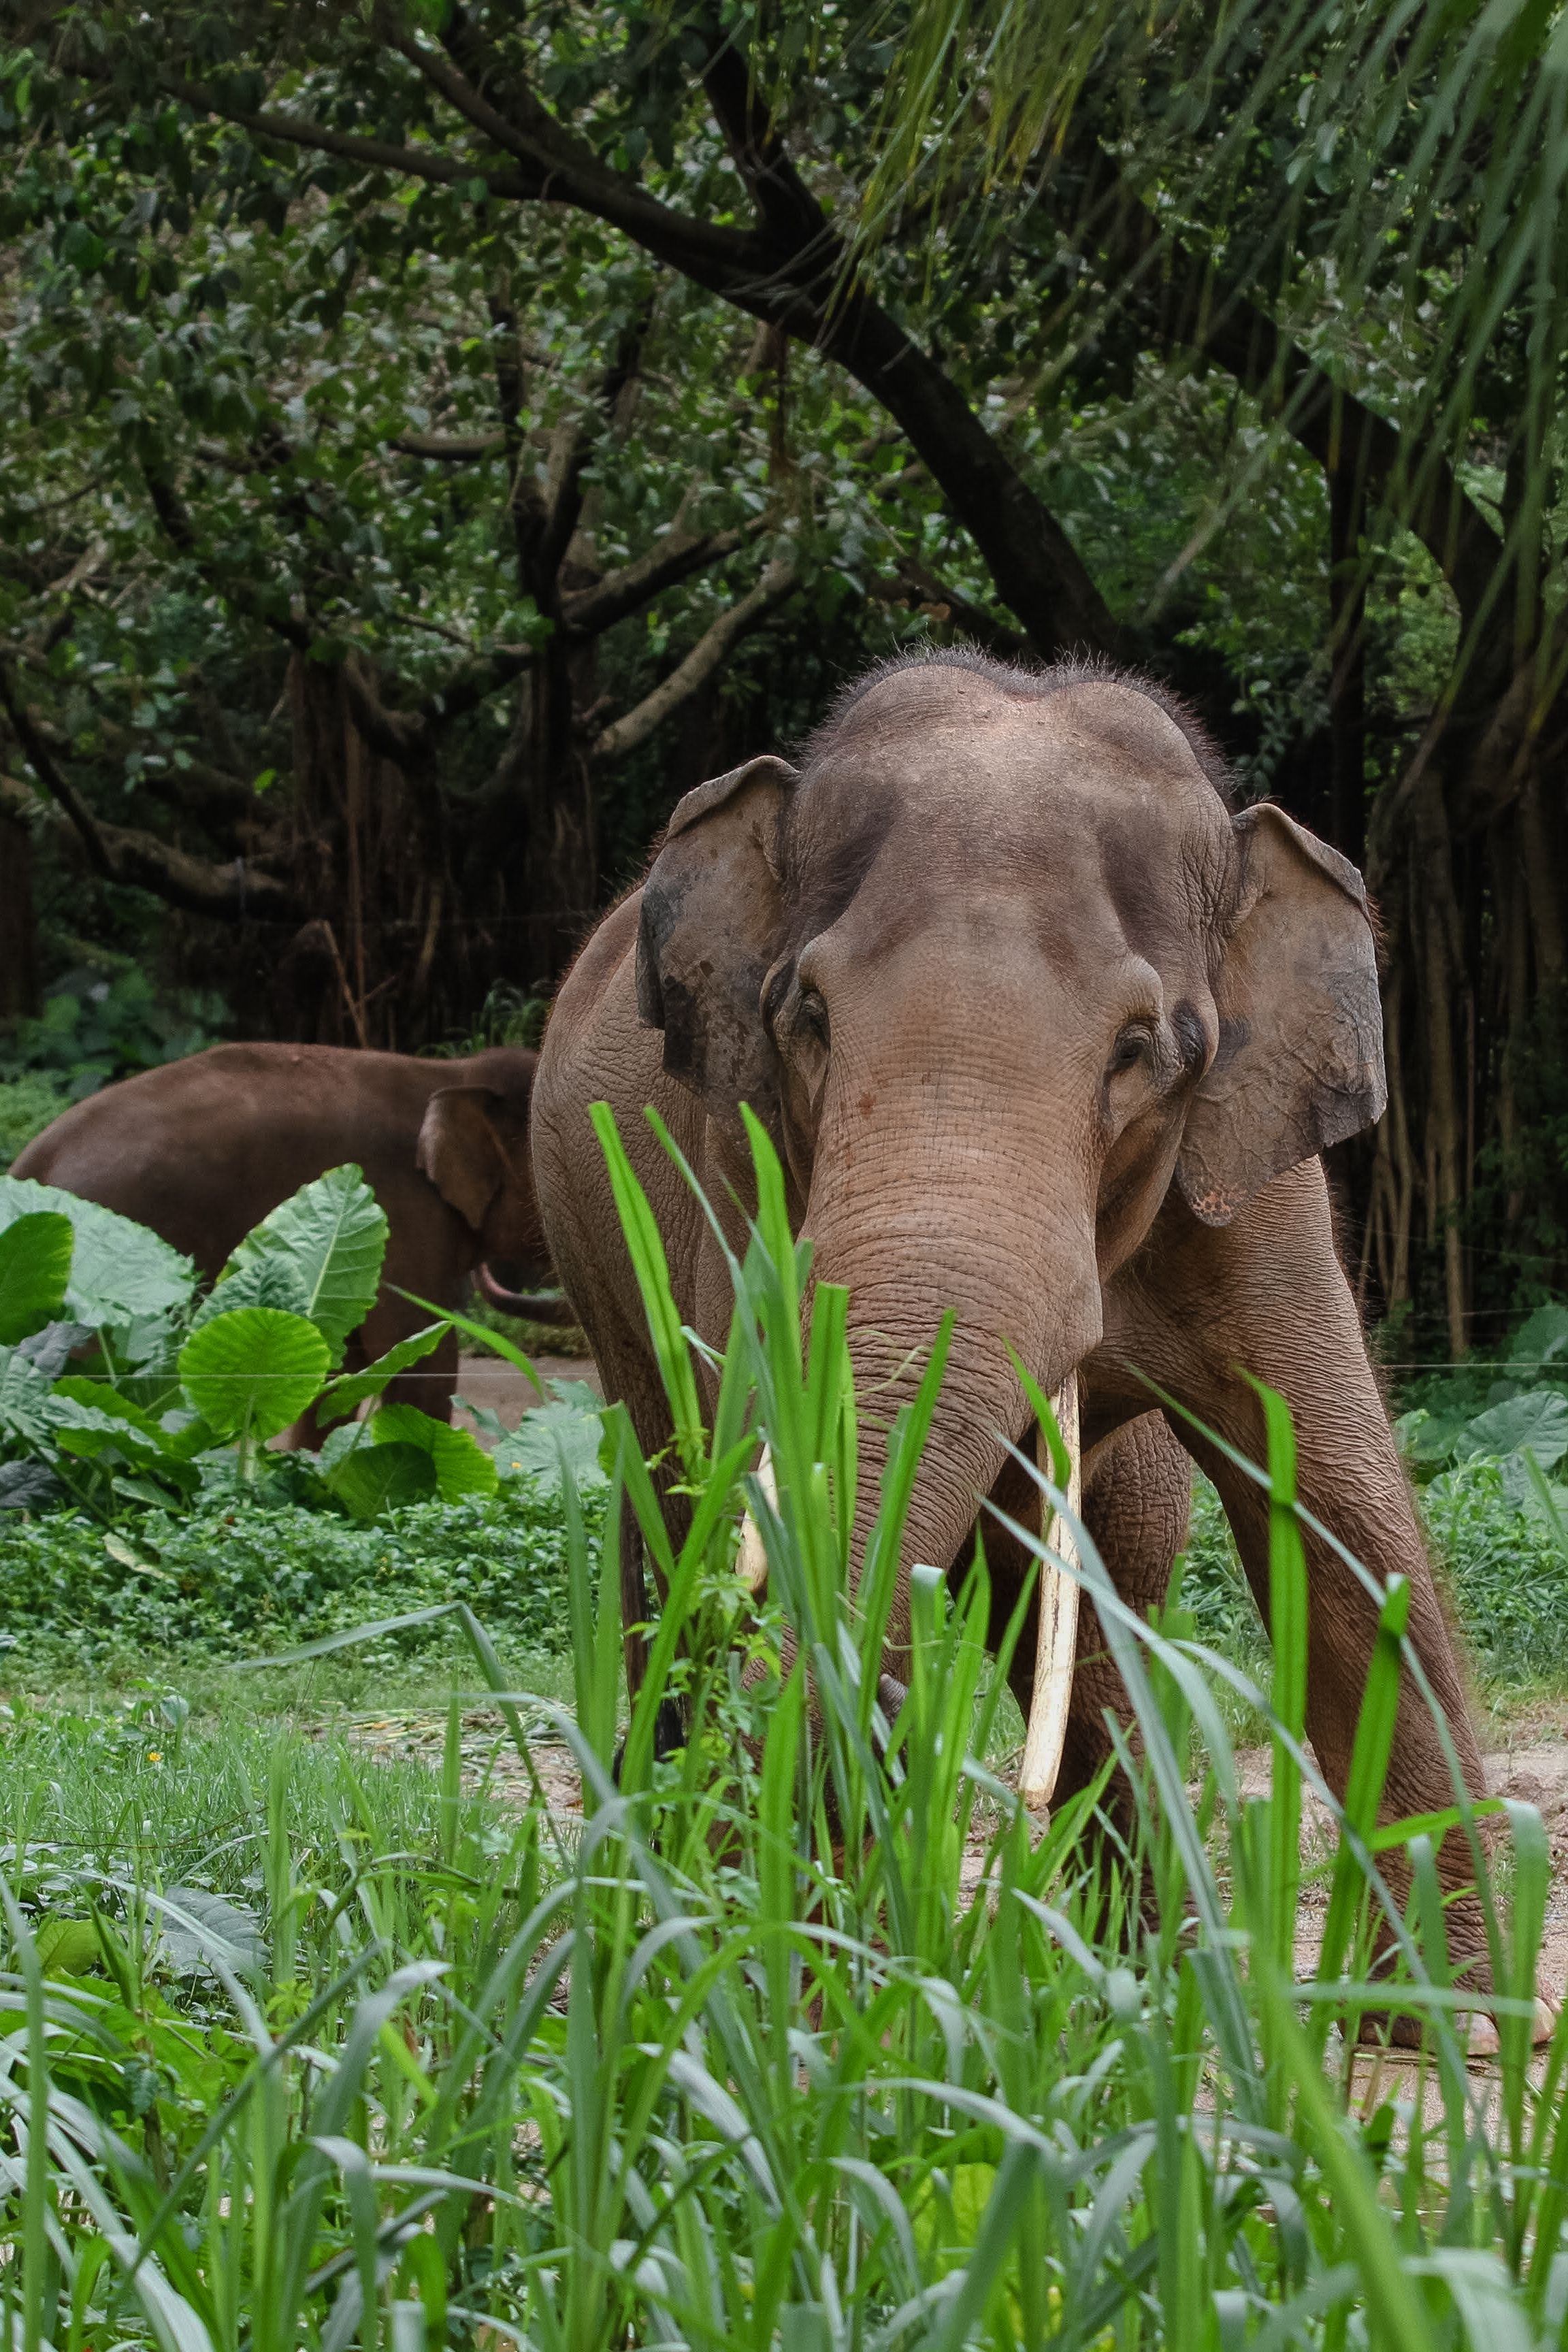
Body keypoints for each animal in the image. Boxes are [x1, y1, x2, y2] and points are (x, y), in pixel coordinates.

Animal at [532, 647, 1496, 1996]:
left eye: (1141, 1046)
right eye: (805, 1015)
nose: (873, 1721)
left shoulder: (1259, 1187)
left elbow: (1343, 1526)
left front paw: (1442, 2025)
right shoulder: (736, 1171)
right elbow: (771, 1477)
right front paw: (789, 1983)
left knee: (1099, 1592)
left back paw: (1136, 1972)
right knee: (671, 1512)